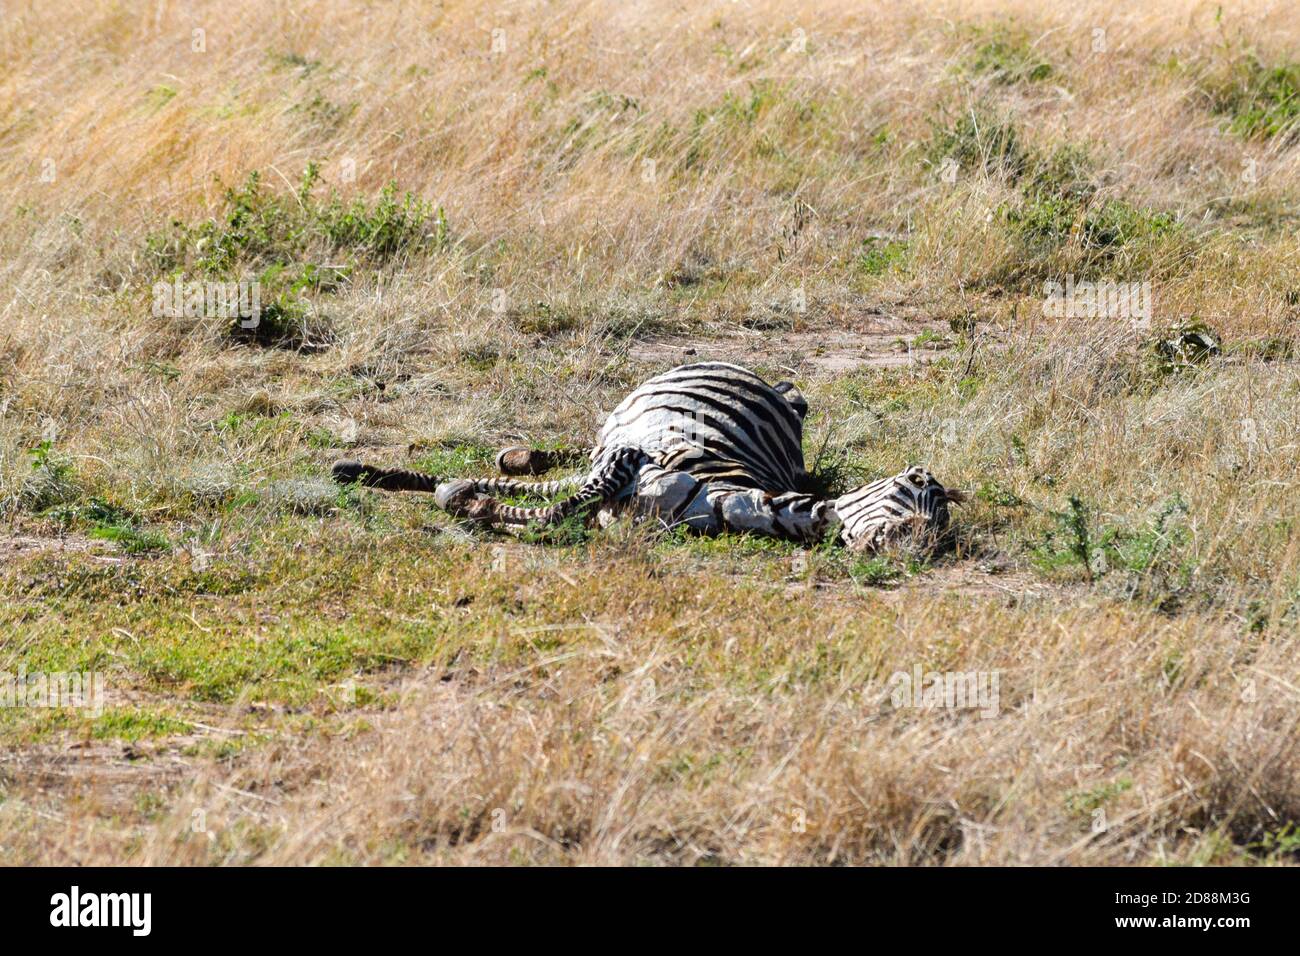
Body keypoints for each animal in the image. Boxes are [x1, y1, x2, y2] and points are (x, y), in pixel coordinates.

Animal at [331, 362, 965, 553]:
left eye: (939, 531)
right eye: (912, 493)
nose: (913, 547)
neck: (732, 500)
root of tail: (781, 396)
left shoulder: (616, 495)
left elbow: (544, 509)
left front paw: (462, 497)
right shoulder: (627, 458)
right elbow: (556, 506)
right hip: (632, 419)